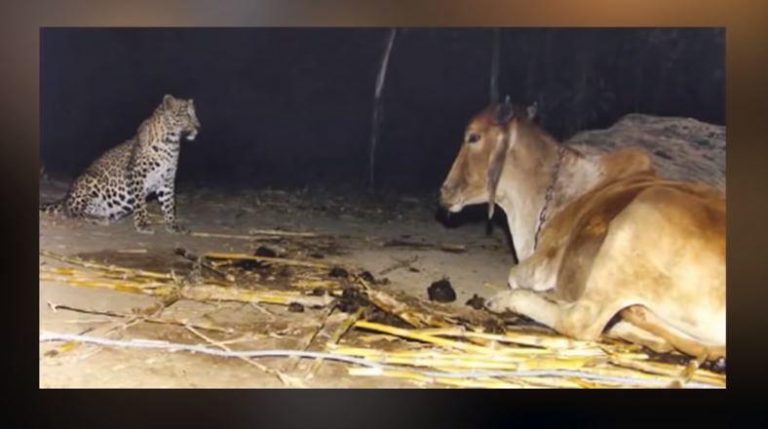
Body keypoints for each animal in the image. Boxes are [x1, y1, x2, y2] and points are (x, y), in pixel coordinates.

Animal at [40, 94, 201, 234]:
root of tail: (65, 198)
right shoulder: (137, 175)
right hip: (89, 181)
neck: (171, 143)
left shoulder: (167, 180)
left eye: (194, 114)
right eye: (186, 114)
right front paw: (143, 225)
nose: (199, 126)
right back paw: (98, 219)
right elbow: (140, 203)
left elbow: (169, 204)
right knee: (72, 212)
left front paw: (173, 226)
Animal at [439, 100, 725, 363]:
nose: (444, 192)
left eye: (473, 137)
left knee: (580, 321)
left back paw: (507, 301)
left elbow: (515, 275)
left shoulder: (544, 264)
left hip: (632, 226)